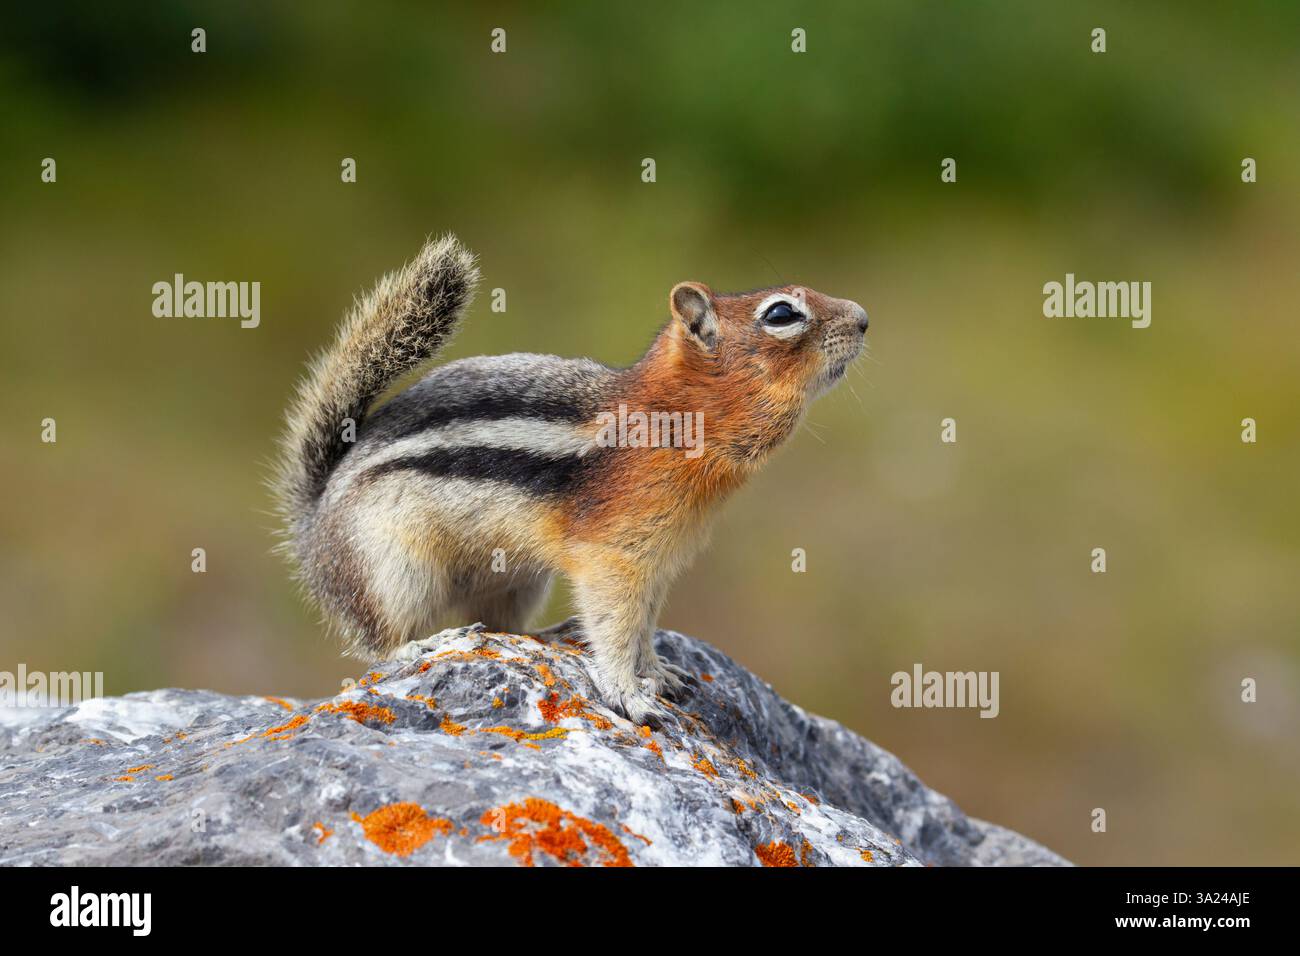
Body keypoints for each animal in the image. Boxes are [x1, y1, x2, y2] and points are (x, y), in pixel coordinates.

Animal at [273, 234, 868, 723]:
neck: (676, 419)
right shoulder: (614, 554)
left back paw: (544, 633)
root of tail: (312, 521)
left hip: (517, 579)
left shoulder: (658, 561)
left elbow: (643, 626)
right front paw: (628, 693)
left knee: (499, 623)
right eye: (782, 313)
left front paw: (657, 671)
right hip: (391, 567)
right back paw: (426, 645)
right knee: (377, 643)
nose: (863, 317)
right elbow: (615, 627)